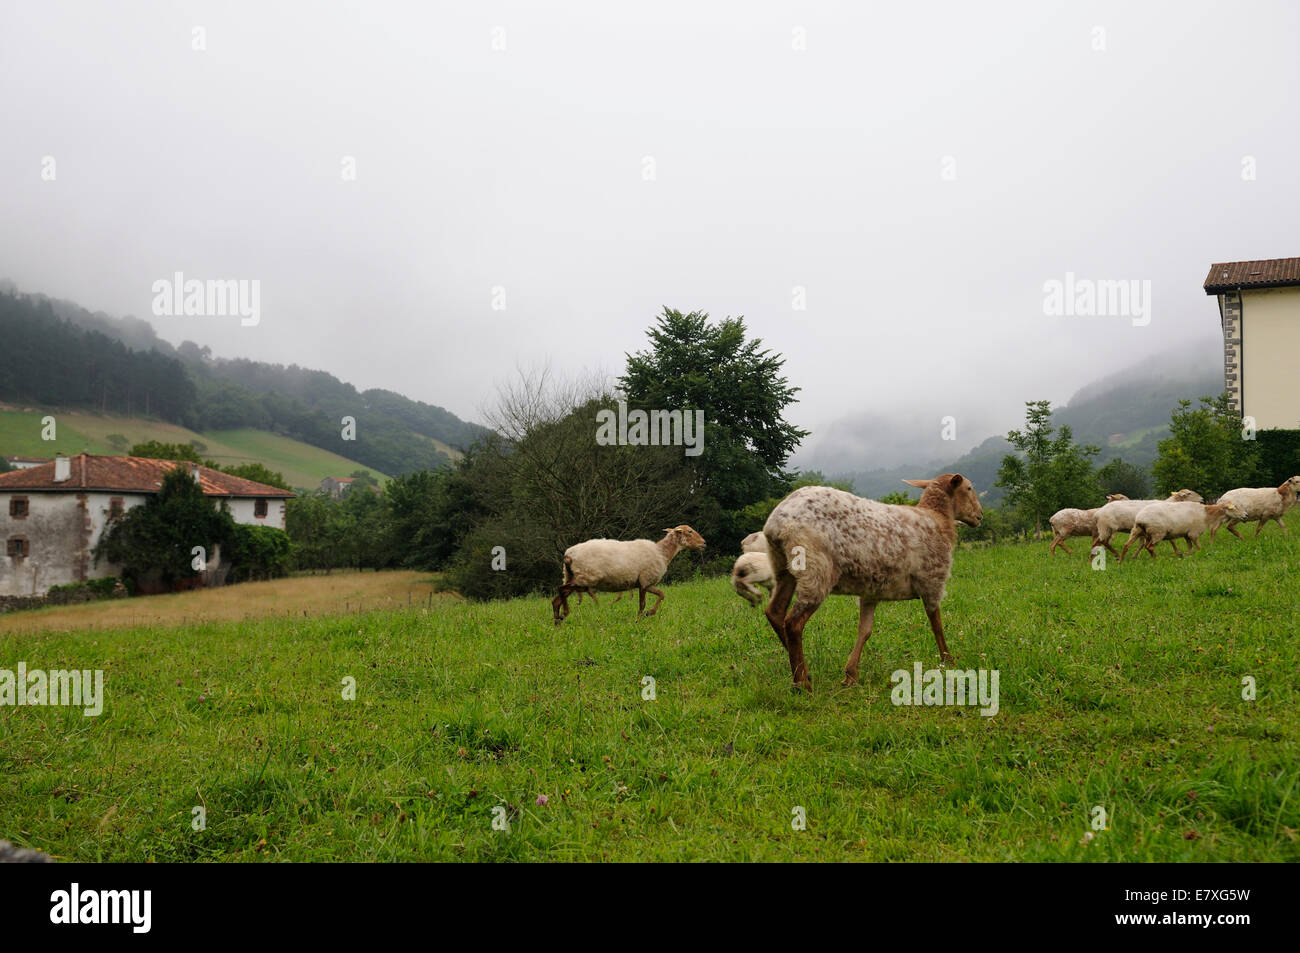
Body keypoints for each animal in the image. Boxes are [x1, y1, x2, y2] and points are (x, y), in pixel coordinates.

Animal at [552, 525, 706, 623]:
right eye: (690, 531)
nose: (704, 543)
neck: (662, 553)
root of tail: (568, 554)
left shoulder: (646, 583)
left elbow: (661, 595)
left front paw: (648, 614)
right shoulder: (645, 580)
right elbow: (642, 604)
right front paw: (641, 618)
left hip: (571, 576)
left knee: (556, 599)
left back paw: (557, 621)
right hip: (584, 577)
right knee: (561, 590)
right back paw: (564, 614)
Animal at [761, 474, 983, 692]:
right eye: (969, 488)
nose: (980, 516)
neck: (937, 517)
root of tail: (776, 522)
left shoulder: (871, 591)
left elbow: (865, 630)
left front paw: (851, 675)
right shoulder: (932, 581)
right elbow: (936, 625)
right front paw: (948, 661)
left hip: (783, 568)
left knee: (775, 612)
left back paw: (804, 671)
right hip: (815, 568)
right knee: (793, 623)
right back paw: (802, 683)